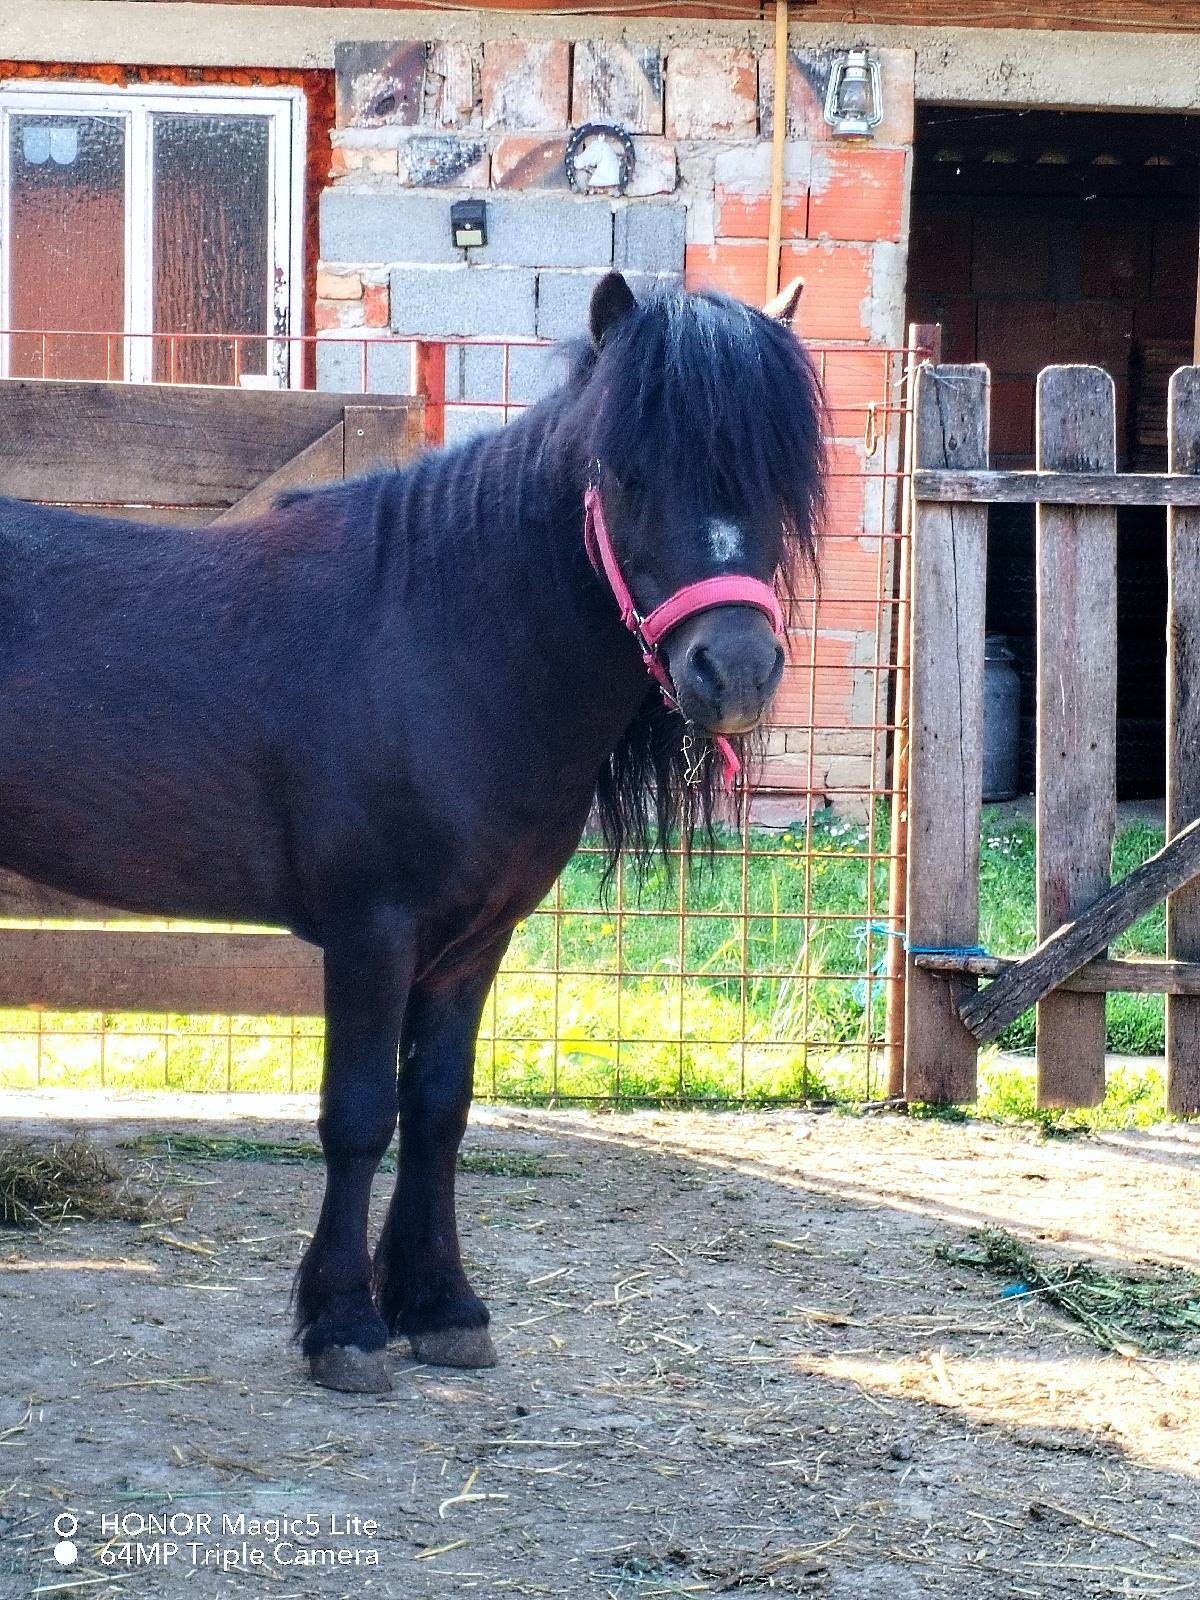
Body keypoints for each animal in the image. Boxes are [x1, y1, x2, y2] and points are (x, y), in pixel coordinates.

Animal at [0, 272, 825, 1393]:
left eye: (776, 479)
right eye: (628, 473)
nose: (733, 672)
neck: (444, 636)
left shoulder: (473, 941)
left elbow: (439, 1108)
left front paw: (440, 1304)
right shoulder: (372, 929)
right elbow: (358, 1116)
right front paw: (345, 1322)